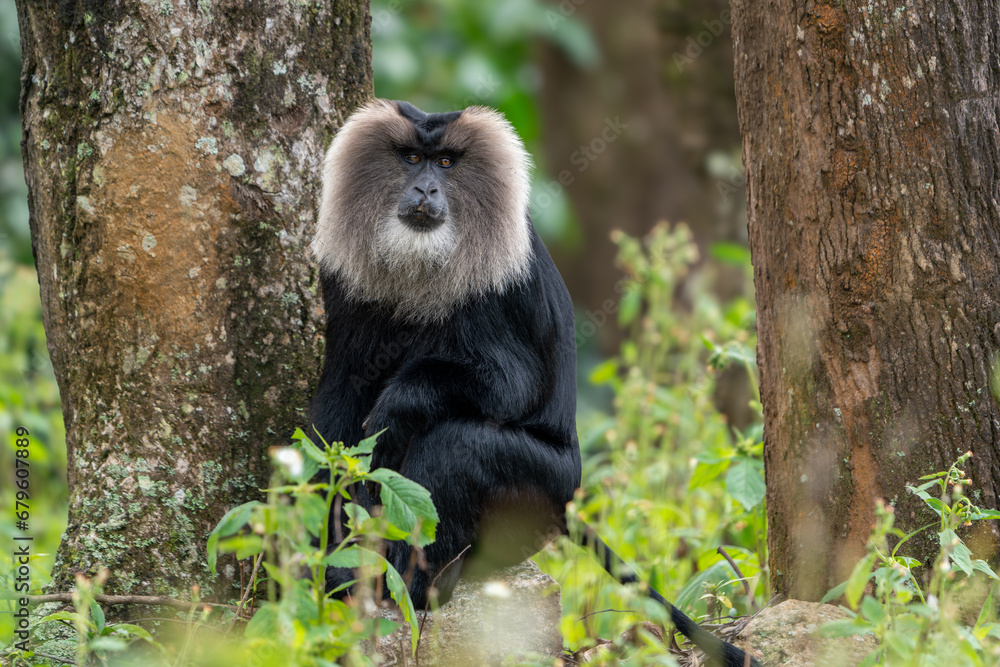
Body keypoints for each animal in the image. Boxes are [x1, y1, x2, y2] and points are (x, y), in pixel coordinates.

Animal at [309, 99, 759, 667]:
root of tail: (568, 506)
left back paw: (418, 583)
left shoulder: (501, 286)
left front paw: (396, 410)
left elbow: (509, 386)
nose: (425, 190)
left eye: (447, 164)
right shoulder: (343, 293)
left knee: (460, 442)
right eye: (412, 158)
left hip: (539, 494)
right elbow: (338, 409)